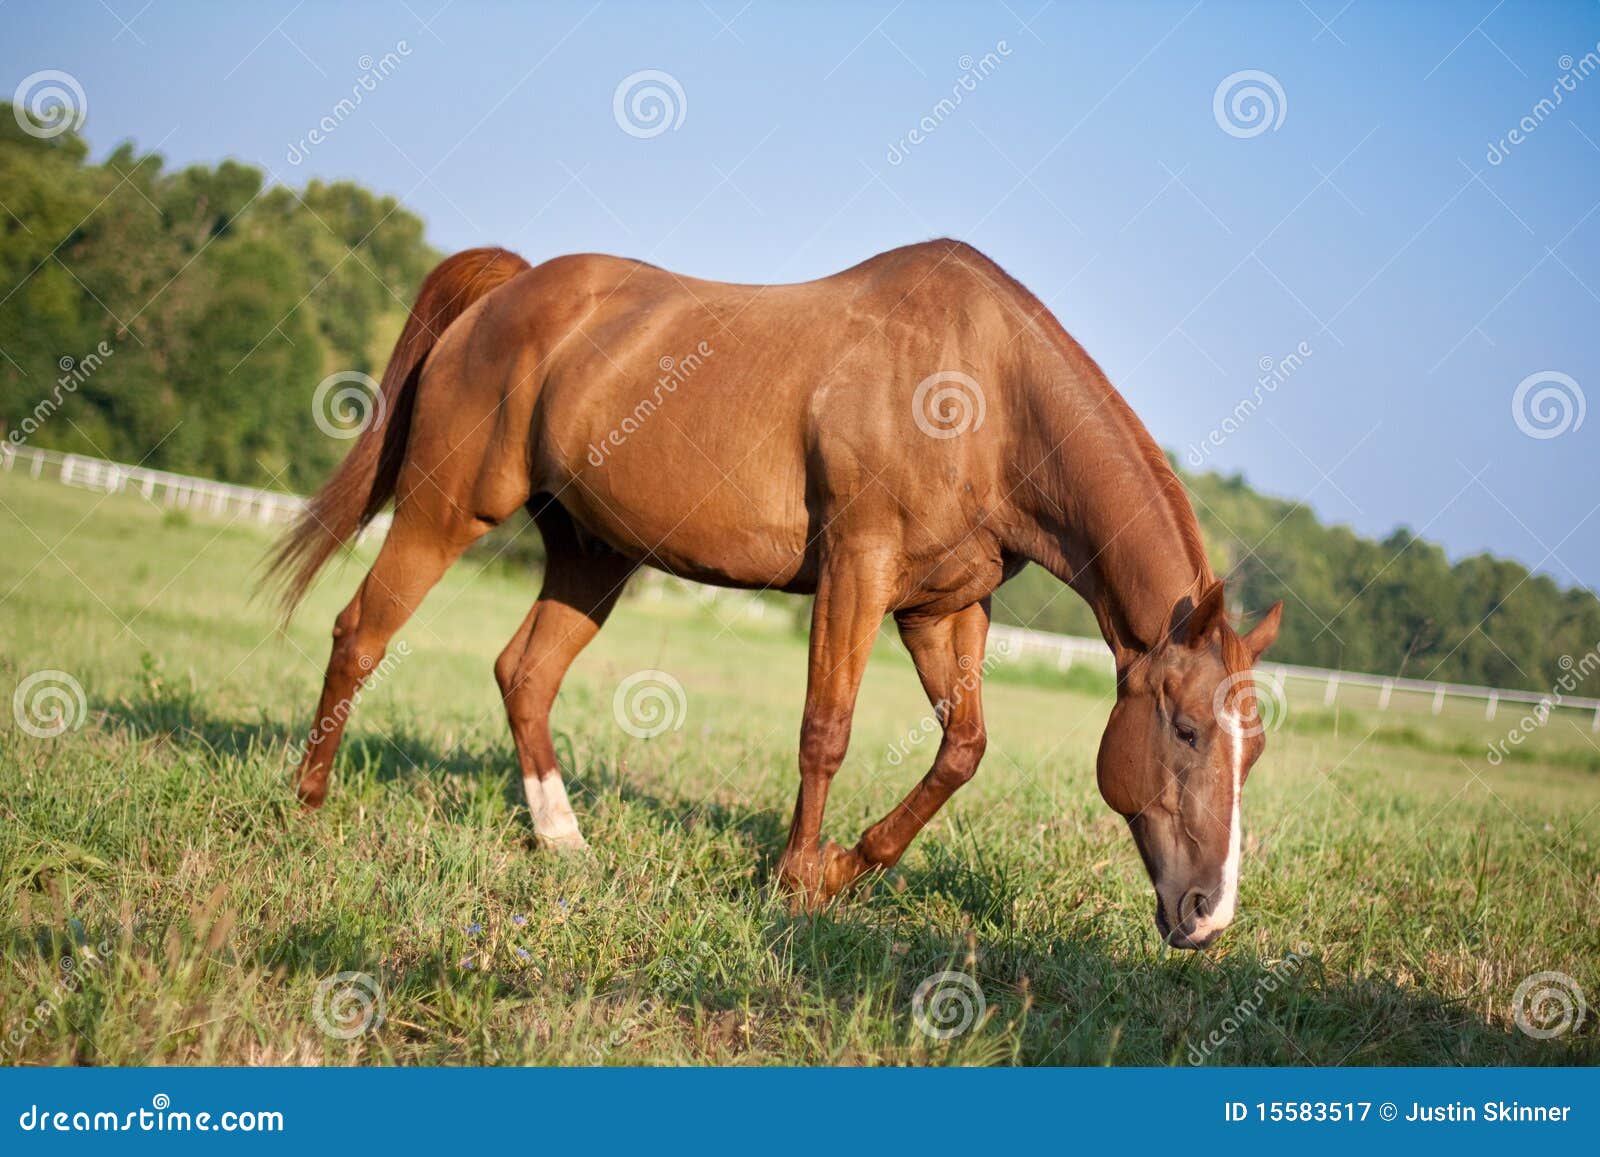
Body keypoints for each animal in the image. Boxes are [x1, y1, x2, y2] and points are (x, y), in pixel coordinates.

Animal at [267, 239, 1282, 950]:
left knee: (524, 672)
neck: (984, 394)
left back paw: (563, 840)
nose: (1208, 915)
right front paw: (796, 879)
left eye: (1257, 750)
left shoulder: (942, 608)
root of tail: (511, 288)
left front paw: (842, 870)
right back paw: (308, 804)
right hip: (444, 509)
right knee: (361, 632)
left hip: (594, 555)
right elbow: (825, 730)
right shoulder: (855, 574)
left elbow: (963, 749)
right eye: (1187, 730)